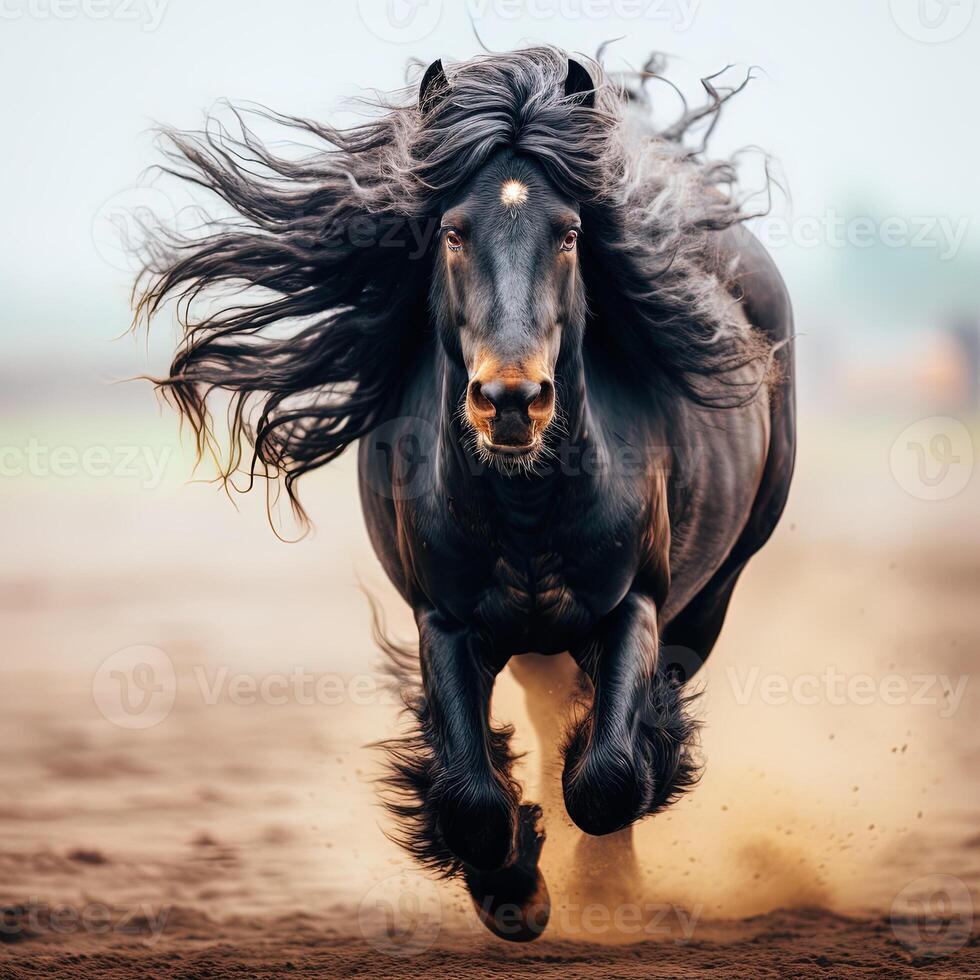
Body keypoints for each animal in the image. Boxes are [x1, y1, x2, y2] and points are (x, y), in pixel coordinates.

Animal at [135, 47, 795, 942]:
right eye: (452, 231)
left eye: (571, 233)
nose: (510, 400)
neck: (525, 509)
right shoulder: (444, 618)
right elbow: (474, 792)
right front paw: (512, 887)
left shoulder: (636, 603)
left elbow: (611, 773)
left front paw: (594, 879)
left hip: (714, 591)